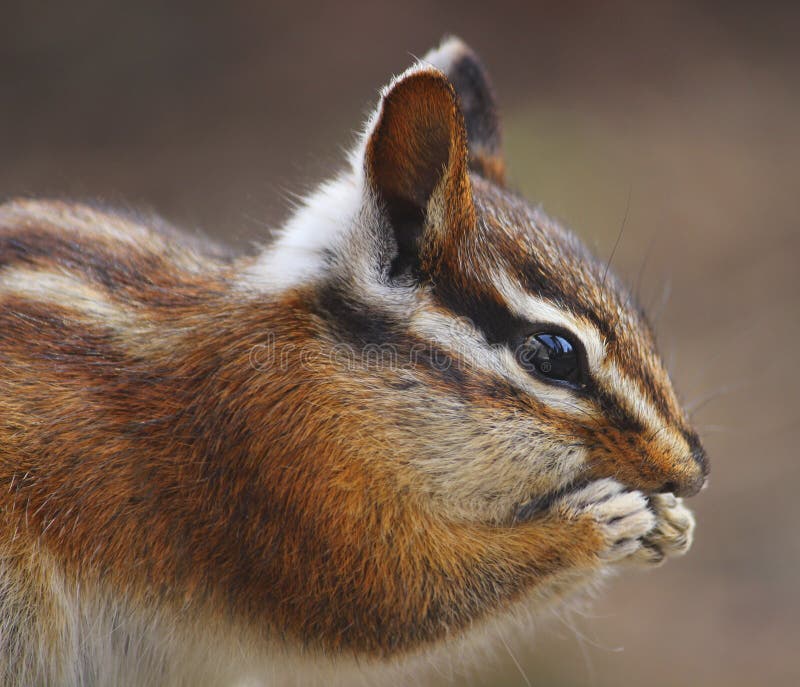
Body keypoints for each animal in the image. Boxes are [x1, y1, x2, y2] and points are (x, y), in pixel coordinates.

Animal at [0, 37, 707, 686]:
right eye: (552, 354)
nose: (693, 472)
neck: (337, 370)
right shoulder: (282, 474)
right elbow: (394, 598)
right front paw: (599, 523)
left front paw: (673, 526)